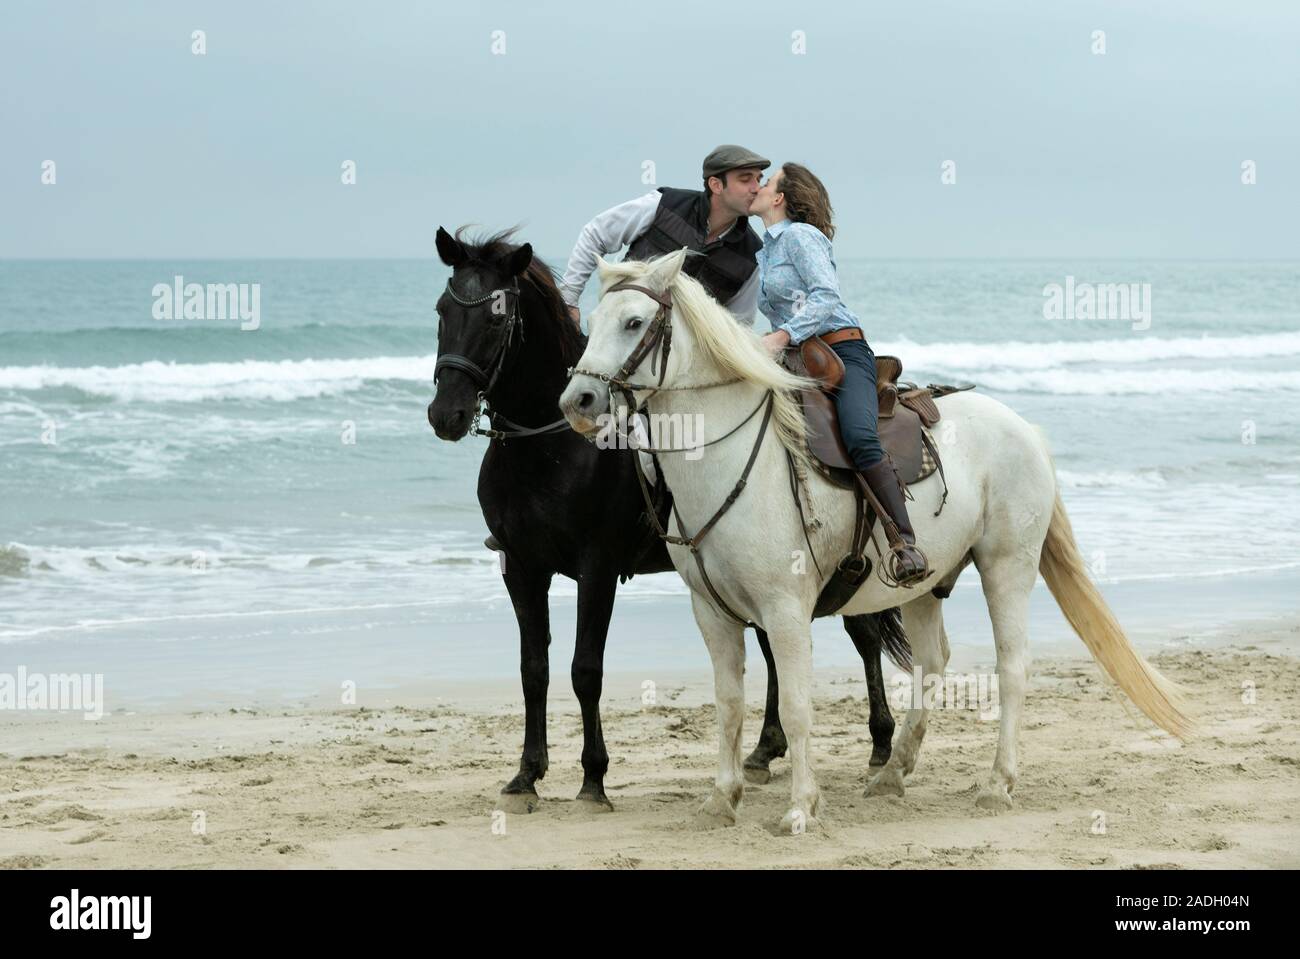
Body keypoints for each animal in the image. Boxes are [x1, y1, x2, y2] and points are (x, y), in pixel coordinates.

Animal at [425, 227, 909, 811]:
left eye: (496, 318)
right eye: (442, 309)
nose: (446, 414)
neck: (548, 449)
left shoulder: (597, 568)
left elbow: (585, 669)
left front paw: (593, 779)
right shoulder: (521, 568)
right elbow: (533, 670)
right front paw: (526, 775)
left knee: (864, 637)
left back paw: (880, 745)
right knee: (774, 650)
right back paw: (765, 752)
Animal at [559, 248, 1194, 832]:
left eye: (634, 322)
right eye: (593, 318)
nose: (577, 403)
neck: (730, 459)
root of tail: (1024, 429)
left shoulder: (784, 611)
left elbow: (795, 707)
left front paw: (800, 808)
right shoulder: (711, 613)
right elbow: (730, 704)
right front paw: (722, 800)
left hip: (1006, 566)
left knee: (1012, 665)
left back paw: (997, 784)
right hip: (923, 583)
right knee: (932, 663)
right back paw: (893, 773)